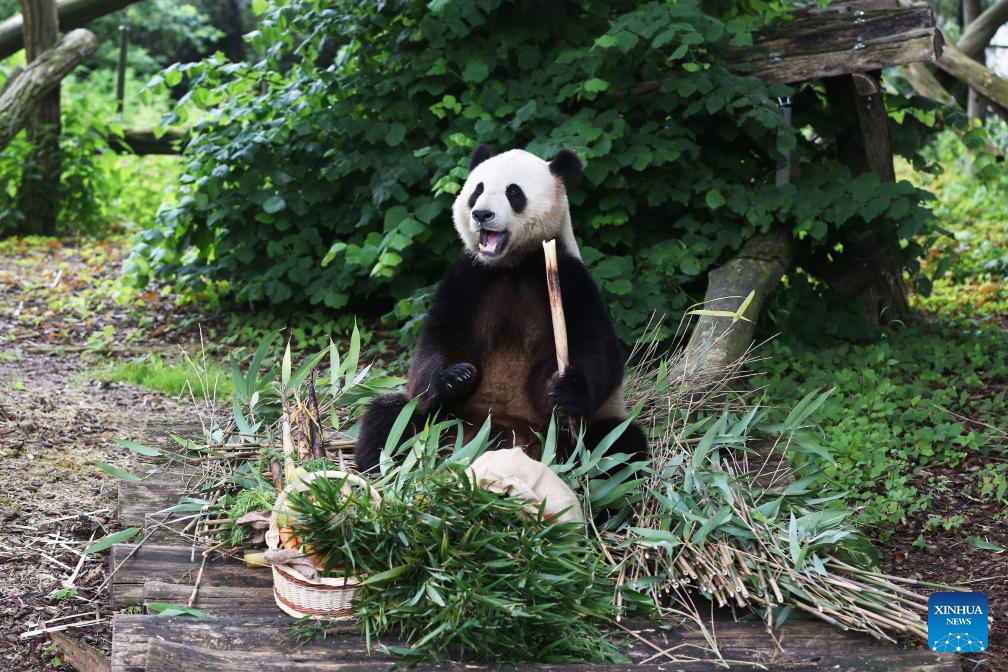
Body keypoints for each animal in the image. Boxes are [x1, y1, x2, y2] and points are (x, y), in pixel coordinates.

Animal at [354, 145, 648, 473]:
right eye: (477, 190)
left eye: (513, 192)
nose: (481, 214)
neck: (511, 264)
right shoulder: (467, 276)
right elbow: (437, 341)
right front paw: (455, 377)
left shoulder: (568, 276)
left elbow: (596, 348)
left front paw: (563, 390)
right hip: (444, 421)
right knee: (391, 418)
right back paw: (383, 465)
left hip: (575, 437)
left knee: (618, 446)